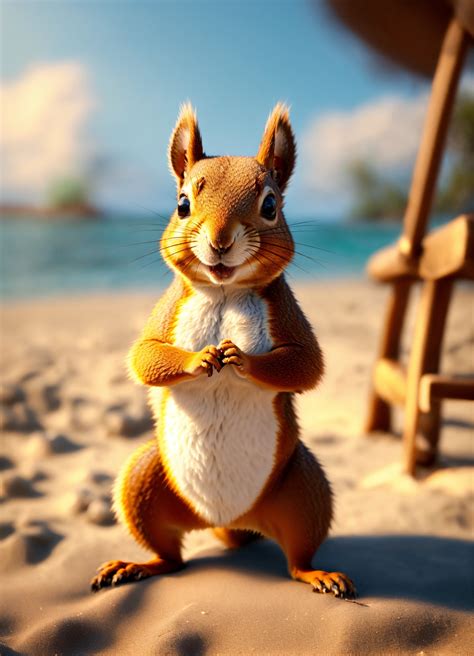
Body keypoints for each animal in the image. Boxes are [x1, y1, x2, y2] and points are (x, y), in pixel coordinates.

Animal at [91, 103, 355, 600]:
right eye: (182, 204)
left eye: (271, 205)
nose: (219, 241)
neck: (224, 291)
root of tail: (230, 521)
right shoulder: (169, 309)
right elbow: (144, 356)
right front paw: (201, 360)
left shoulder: (284, 309)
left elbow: (306, 364)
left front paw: (241, 360)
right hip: (144, 483)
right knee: (170, 557)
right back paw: (134, 566)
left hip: (304, 490)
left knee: (297, 557)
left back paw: (320, 574)